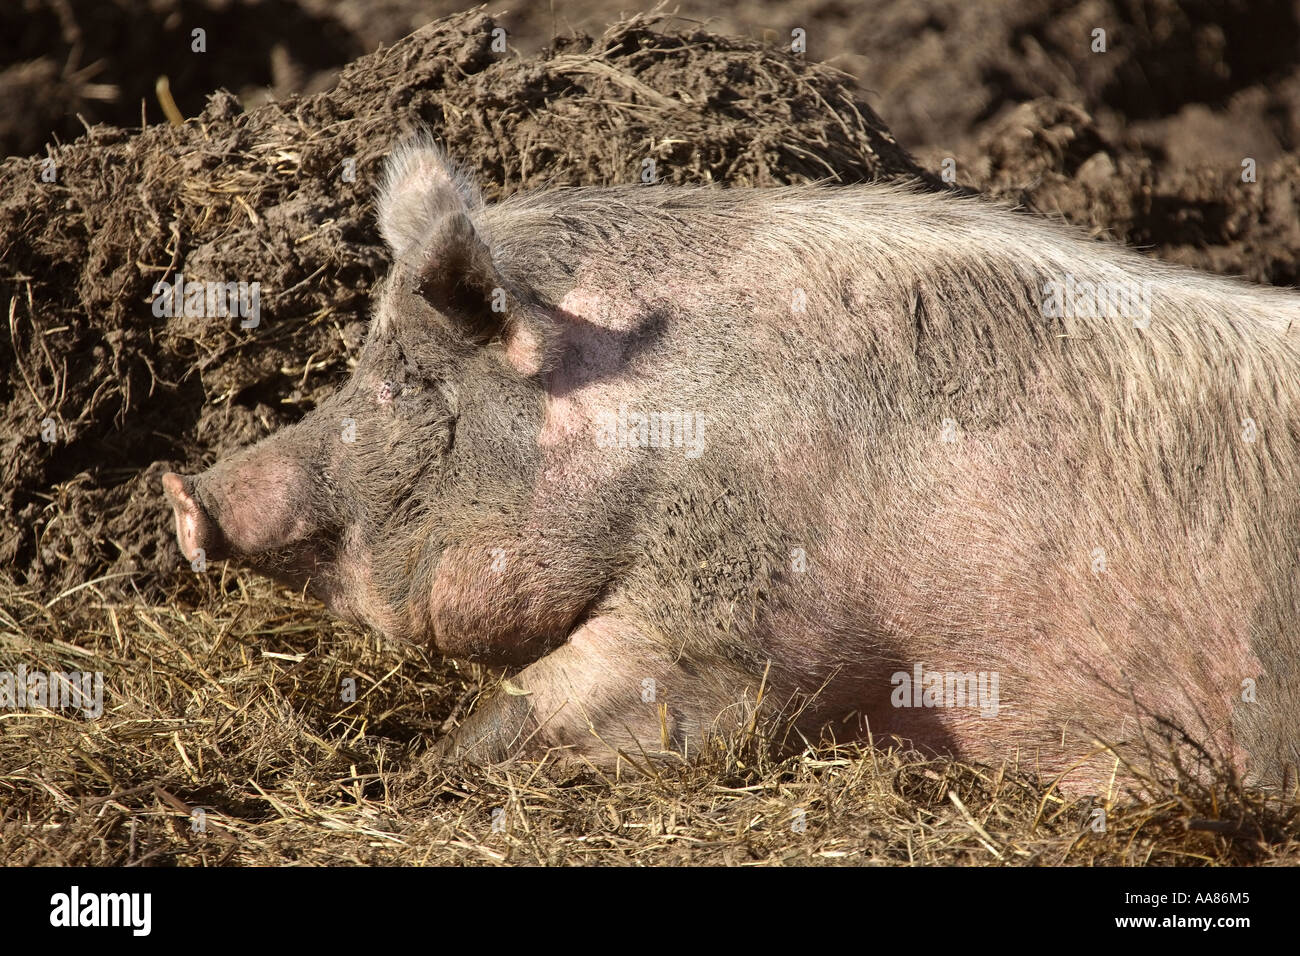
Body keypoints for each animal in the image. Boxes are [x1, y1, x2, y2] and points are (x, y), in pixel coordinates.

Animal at [163, 135, 1300, 792]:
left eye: (406, 381)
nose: (183, 490)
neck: (661, 421)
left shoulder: (738, 609)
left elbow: (561, 706)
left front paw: (404, 780)